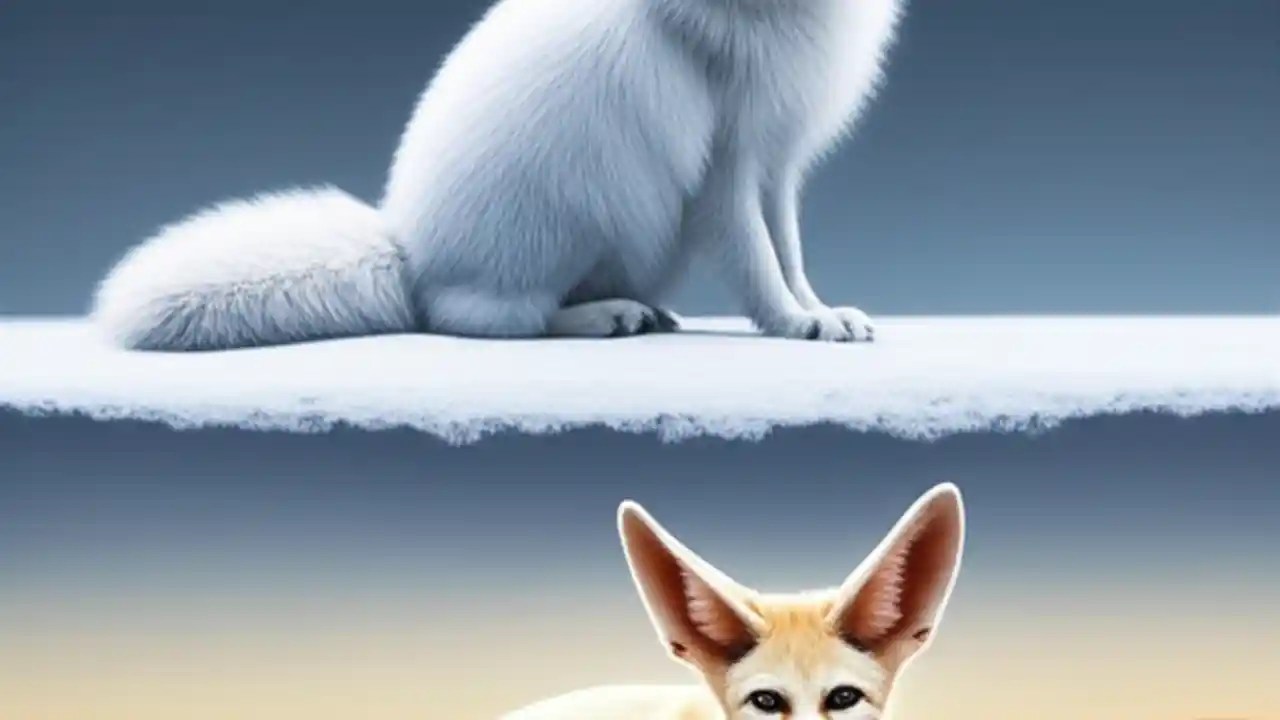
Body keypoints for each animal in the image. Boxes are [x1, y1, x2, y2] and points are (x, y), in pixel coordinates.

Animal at [93, 0, 906, 351]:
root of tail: (408, 253)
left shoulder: (776, 158)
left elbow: (790, 253)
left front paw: (823, 311)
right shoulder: (722, 171)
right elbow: (760, 264)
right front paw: (796, 325)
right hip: (577, 209)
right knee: (480, 319)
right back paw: (606, 318)